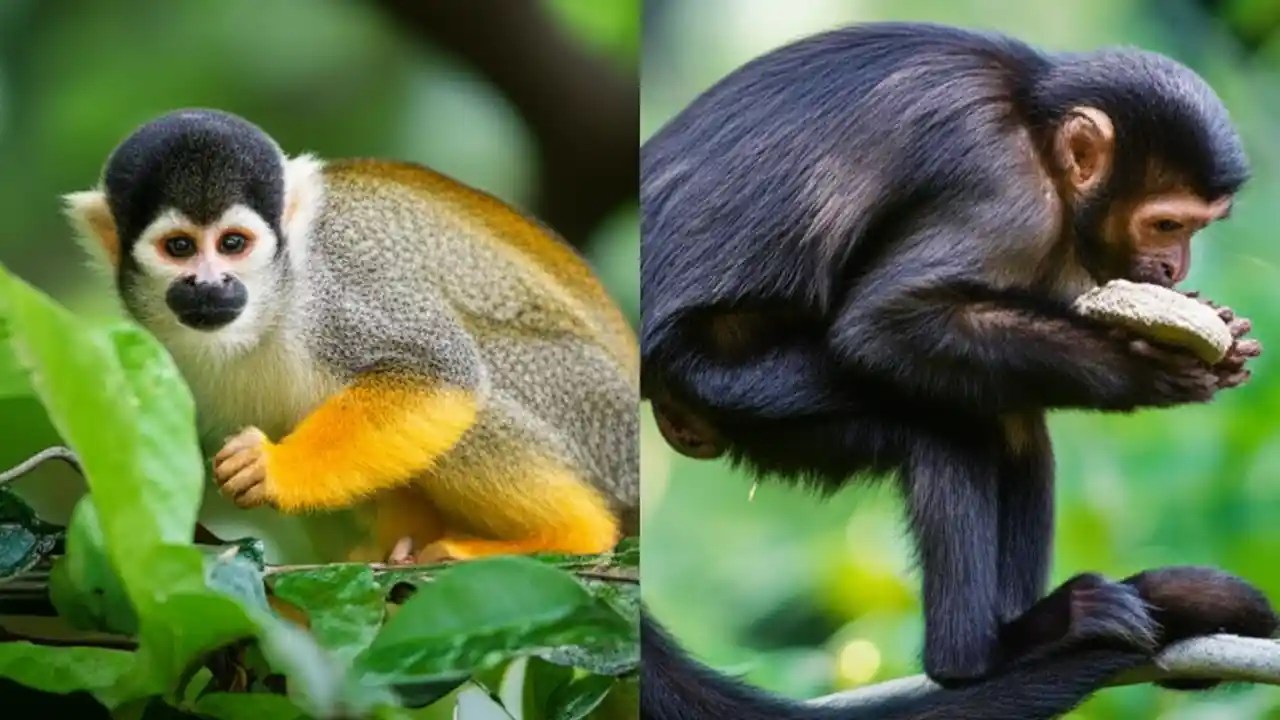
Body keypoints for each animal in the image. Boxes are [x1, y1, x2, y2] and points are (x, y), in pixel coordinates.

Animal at [63, 108, 638, 564]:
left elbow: (440, 369)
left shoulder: (336, 291)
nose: (210, 285)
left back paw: (573, 535)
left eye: (232, 244)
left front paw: (275, 468)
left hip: (588, 404)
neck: (272, 307)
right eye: (179, 247)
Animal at [640, 22, 1276, 719]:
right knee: (946, 435)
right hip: (731, 383)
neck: (1033, 125)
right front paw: (1142, 367)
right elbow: (882, 324)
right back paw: (981, 657)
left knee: (1009, 416)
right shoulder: (1006, 189)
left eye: (1192, 230)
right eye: (1166, 225)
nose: (1174, 269)